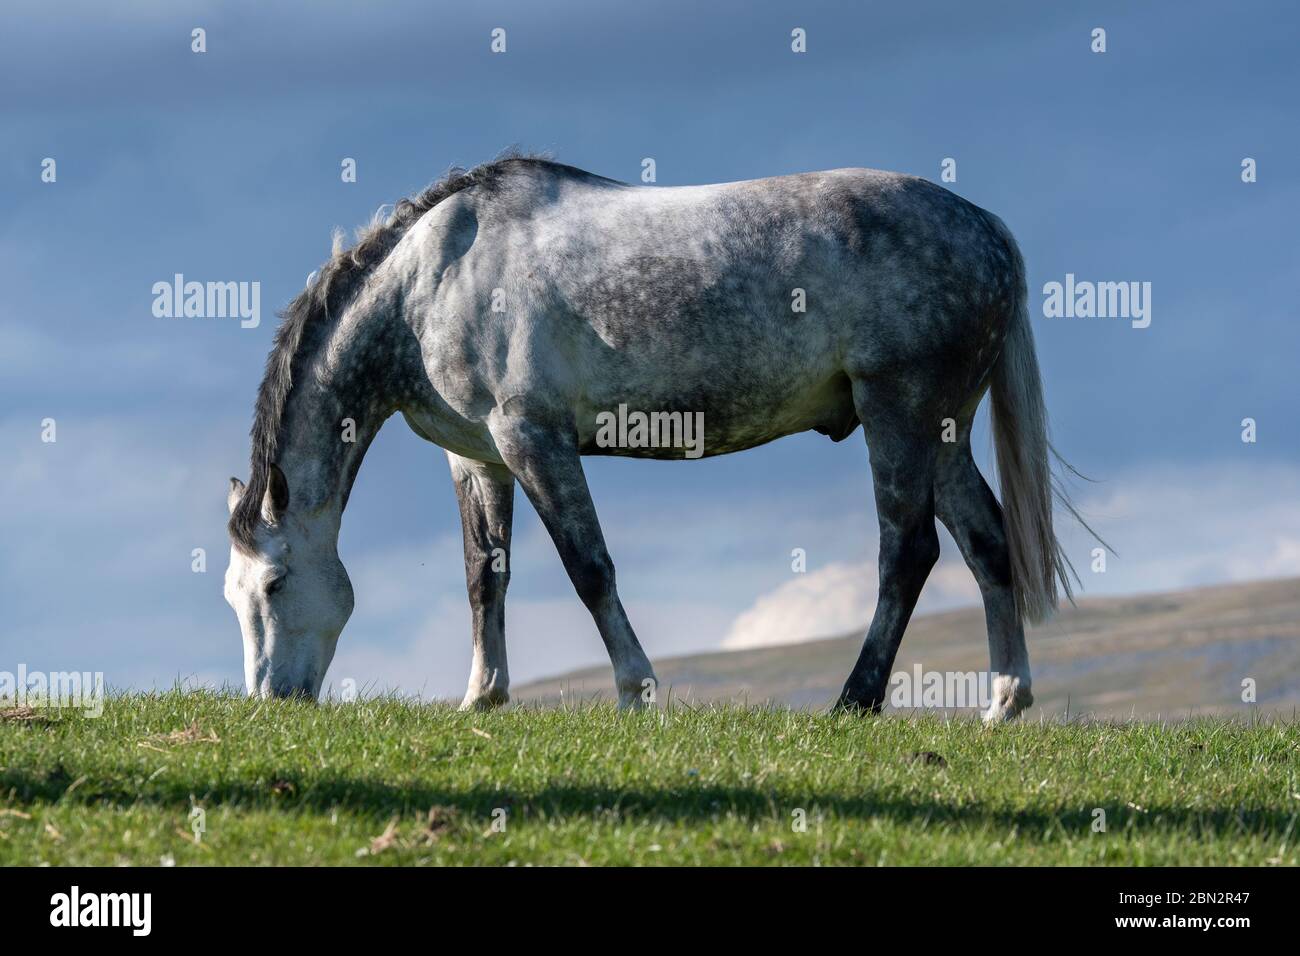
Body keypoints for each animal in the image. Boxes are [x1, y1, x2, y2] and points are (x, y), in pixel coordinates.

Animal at [224, 155, 1084, 722]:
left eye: (273, 585)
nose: (269, 702)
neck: (429, 281)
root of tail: (987, 231)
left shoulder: (532, 437)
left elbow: (589, 569)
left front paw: (636, 691)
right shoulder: (477, 458)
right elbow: (483, 576)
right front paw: (482, 698)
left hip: (897, 413)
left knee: (907, 553)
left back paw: (856, 700)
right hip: (942, 432)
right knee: (988, 544)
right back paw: (1005, 701)